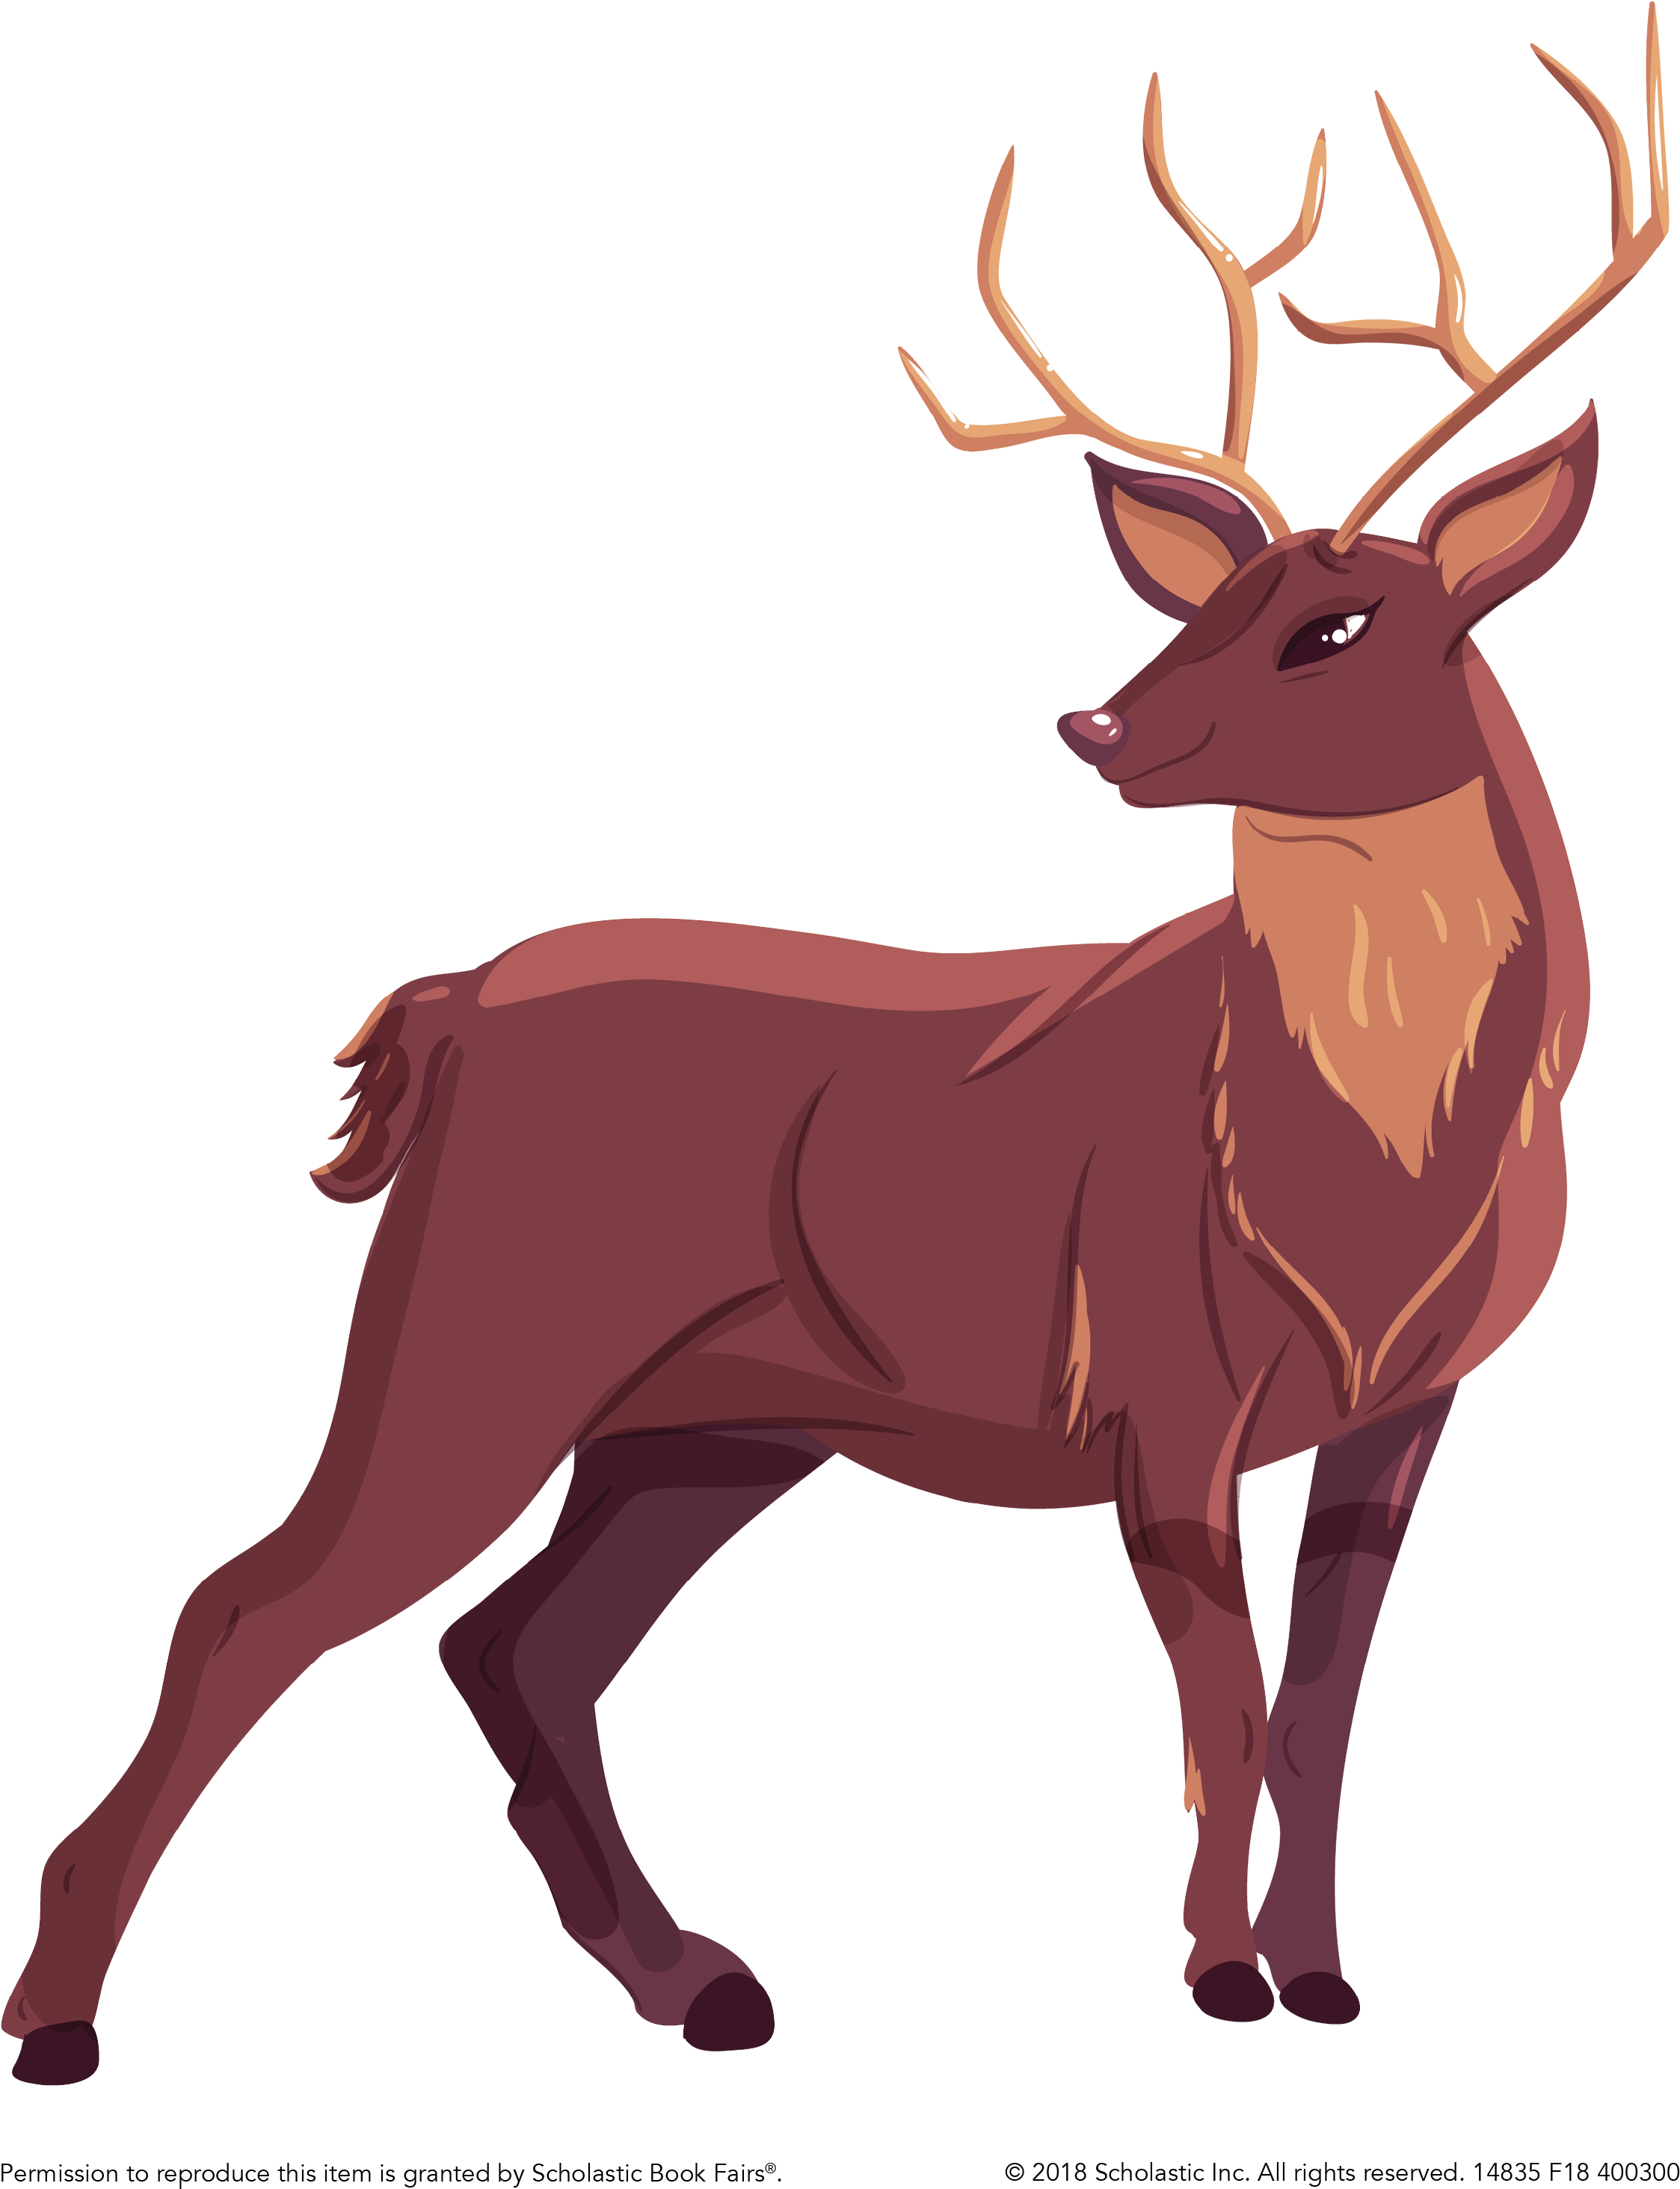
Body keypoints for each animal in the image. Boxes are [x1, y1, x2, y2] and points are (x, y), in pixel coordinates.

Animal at [8, 15, 1667, 2084]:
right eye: (1199, 605)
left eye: (1336, 624)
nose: (1097, 722)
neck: (1373, 1169)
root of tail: (442, 1015)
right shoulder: (1166, 1380)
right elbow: (1218, 1701)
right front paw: (1218, 1974)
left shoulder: (1410, 1406)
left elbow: (1322, 1713)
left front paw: (1323, 1974)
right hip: (470, 1339)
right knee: (247, 1603)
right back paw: (53, 2013)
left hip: (721, 1422)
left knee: (513, 1641)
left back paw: (695, 1979)